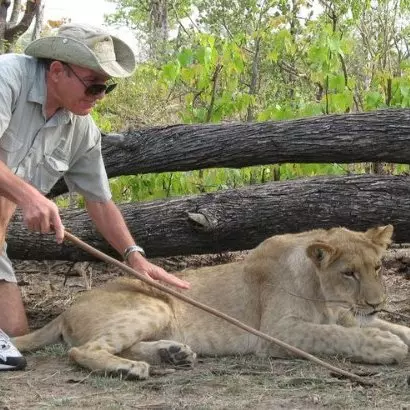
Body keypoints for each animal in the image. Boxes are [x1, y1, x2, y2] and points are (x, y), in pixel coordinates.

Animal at [12, 226, 410, 380]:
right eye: (349, 273)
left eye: (377, 267)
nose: (377, 303)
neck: (324, 294)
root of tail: (67, 308)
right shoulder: (276, 333)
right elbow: (335, 336)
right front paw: (386, 346)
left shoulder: (348, 315)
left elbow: (393, 325)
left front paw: (392, 331)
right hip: (156, 305)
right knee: (82, 350)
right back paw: (131, 369)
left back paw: (173, 354)